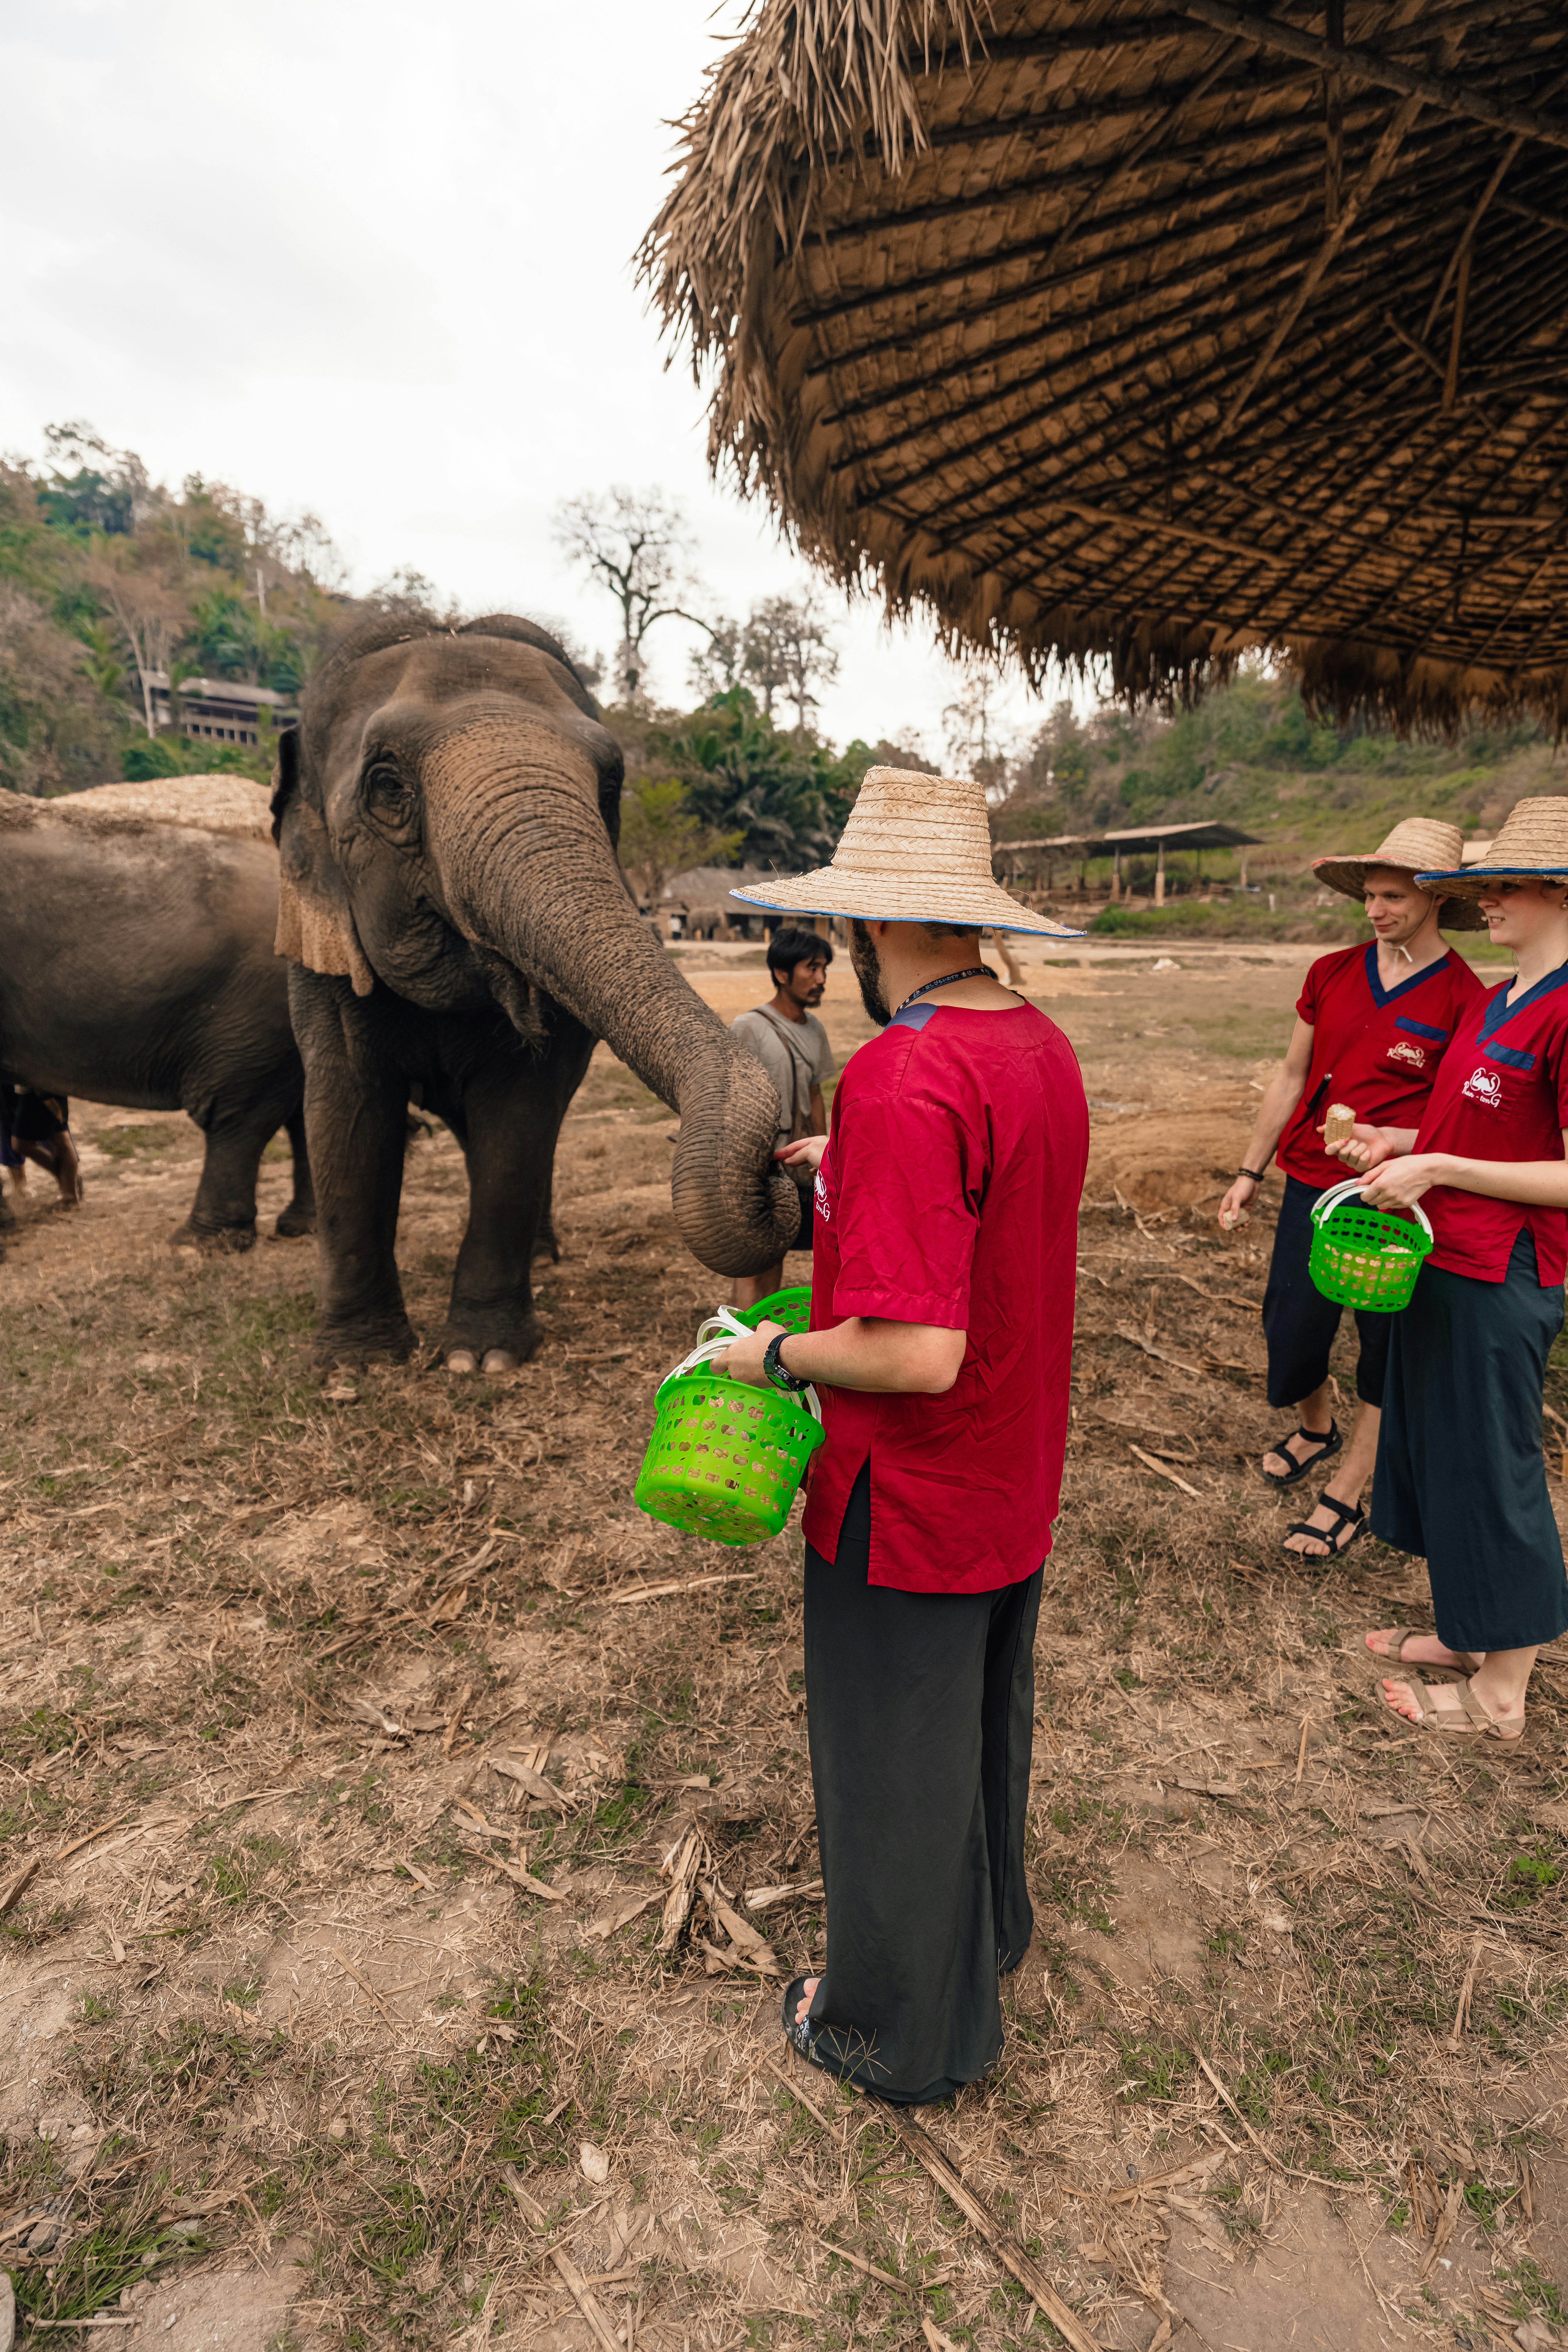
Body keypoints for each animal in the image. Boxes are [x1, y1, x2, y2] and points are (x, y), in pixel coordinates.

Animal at [272, 611, 795, 1370]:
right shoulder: (323, 957)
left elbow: (518, 1118)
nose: (776, 1173)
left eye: (609, 783)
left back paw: (544, 1254)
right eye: (386, 785)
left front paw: (481, 1358)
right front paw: (359, 1362)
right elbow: (347, 1106)